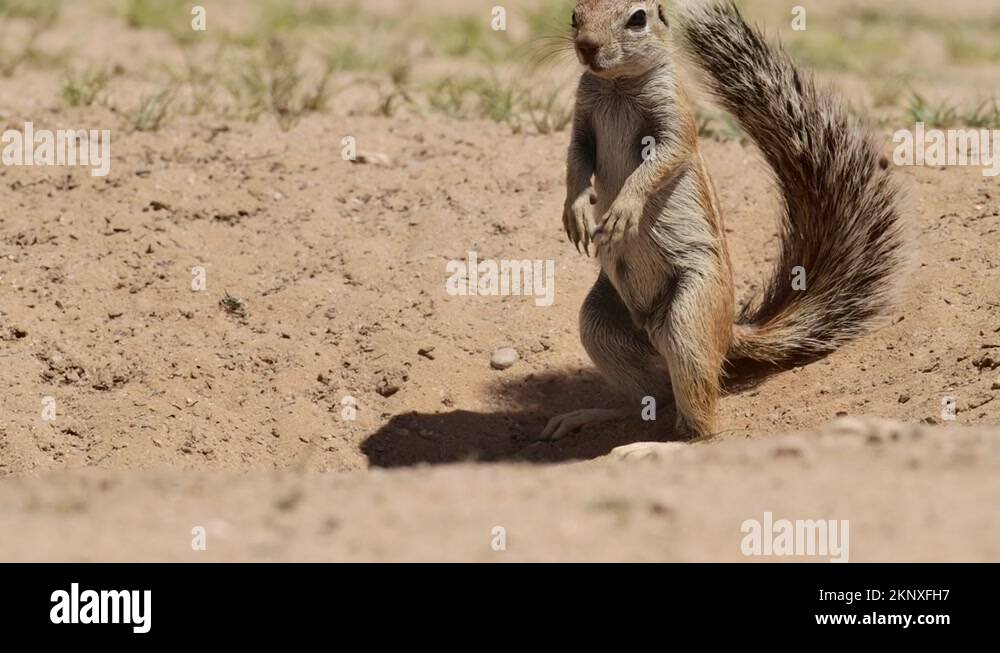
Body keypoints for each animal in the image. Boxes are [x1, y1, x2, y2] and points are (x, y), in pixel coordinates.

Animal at [541, 0, 907, 443]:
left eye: (637, 18)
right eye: (574, 15)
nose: (587, 47)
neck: (616, 86)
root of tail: (729, 334)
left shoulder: (674, 120)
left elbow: (661, 161)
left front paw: (624, 210)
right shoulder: (582, 123)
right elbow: (576, 162)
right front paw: (575, 212)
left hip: (690, 314)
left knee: (702, 419)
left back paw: (663, 443)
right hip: (600, 323)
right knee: (655, 398)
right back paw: (592, 417)